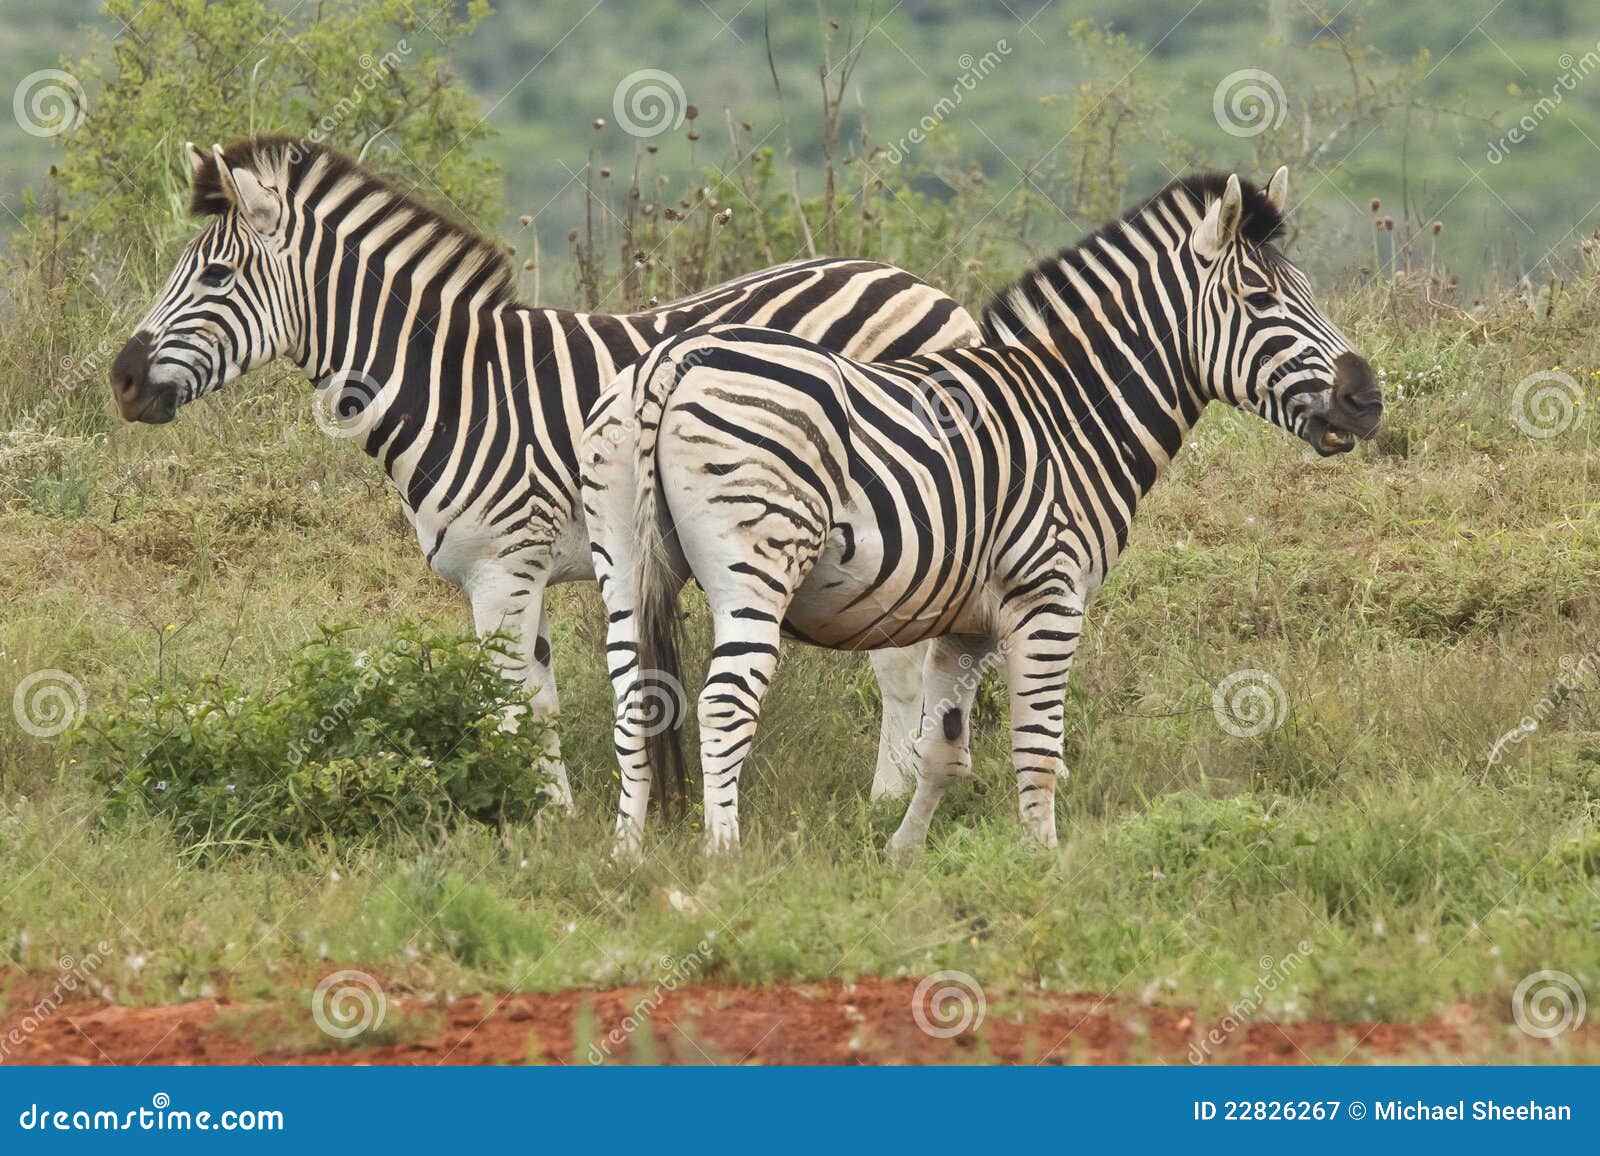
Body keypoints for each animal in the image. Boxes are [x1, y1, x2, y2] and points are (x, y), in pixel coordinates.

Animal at [108, 136, 980, 809]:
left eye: (215, 278)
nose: (120, 380)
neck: (453, 387)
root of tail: (926, 289)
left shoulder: (501, 566)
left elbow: (511, 703)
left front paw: (522, 819)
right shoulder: (509, 569)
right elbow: (539, 700)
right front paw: (550, 813)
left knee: (902, 664)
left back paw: (889, 798)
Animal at [583, 167, 1382, 853]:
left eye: (1308, 291)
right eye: (1261, 302)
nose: (1368, 399)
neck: (1068, 414)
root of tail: (675, 359)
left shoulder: (963, 626)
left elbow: (943, 752)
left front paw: (903, 854)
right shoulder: (1049, 599)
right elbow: (1037, 749)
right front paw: (1043, 860)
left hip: (621, 565)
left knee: (636, 703)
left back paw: (628, 855)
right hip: (755, 570)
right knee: (722, 706)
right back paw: (724, 857)